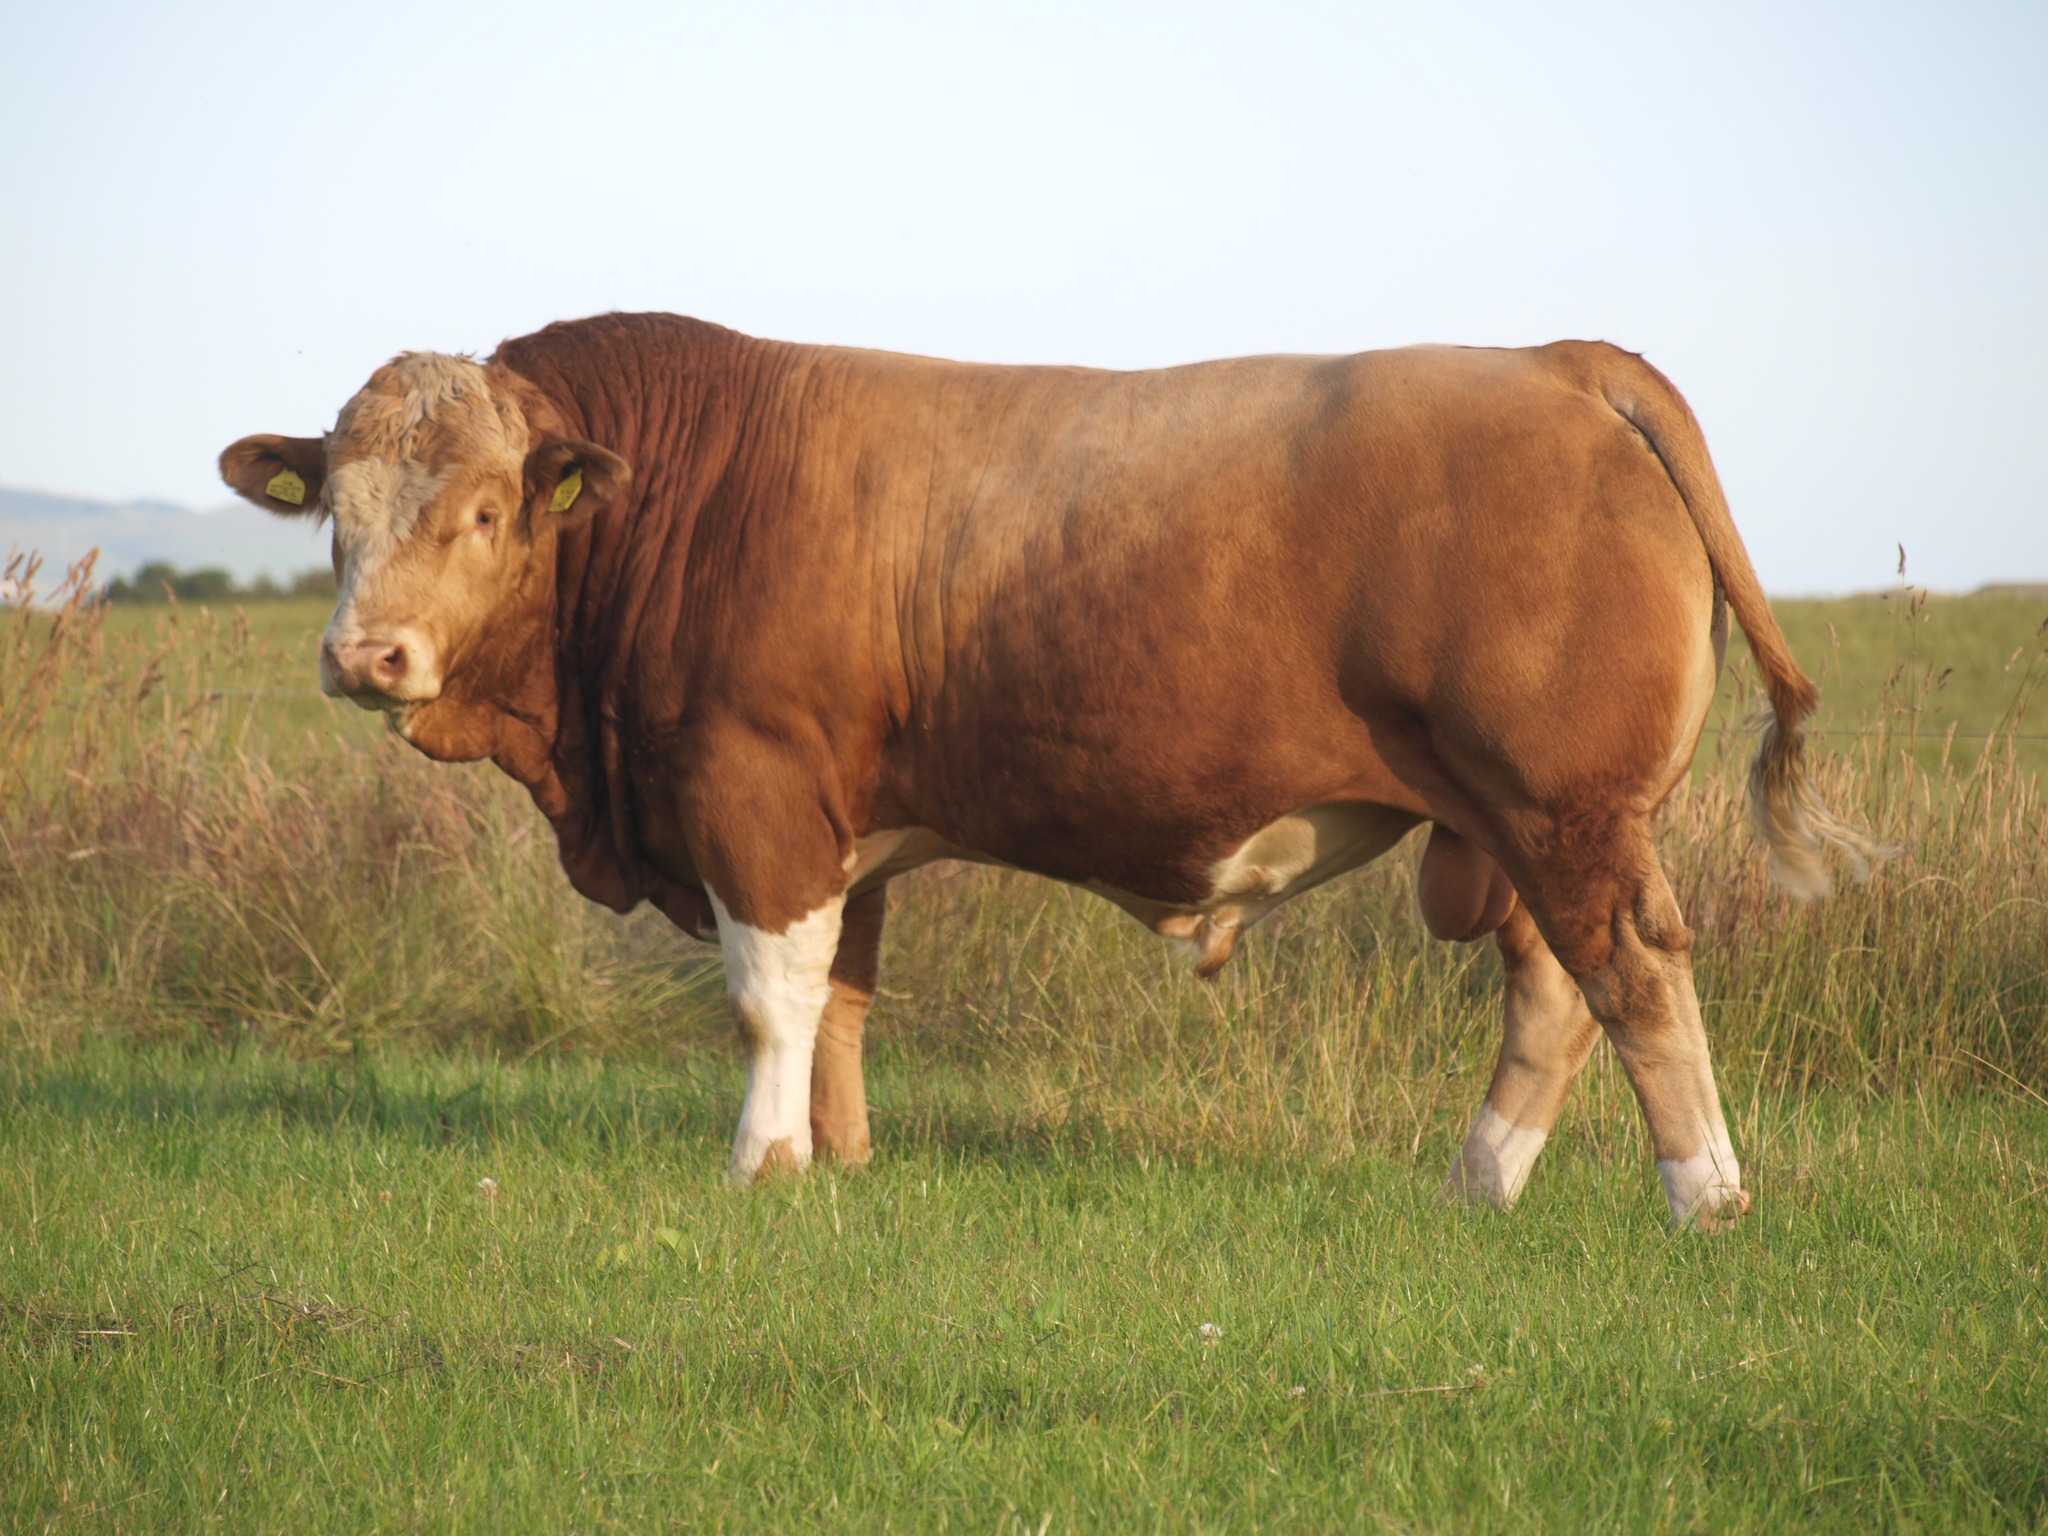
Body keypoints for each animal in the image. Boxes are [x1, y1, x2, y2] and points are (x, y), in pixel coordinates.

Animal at [221, 312, 1882, 1227]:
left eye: (490, 510)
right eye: (334, 512)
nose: (367, 657)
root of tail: (1555, 362)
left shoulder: (752, 796)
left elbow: (768, 997)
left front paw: (761, 1166)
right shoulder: (841, 824)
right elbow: (838, 999)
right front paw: (840, 1162)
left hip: (1570, 813)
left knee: (1637, 983)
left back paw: (1706, 1198)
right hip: (1533, 830)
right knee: (1554, 999)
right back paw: (1478, 1190)